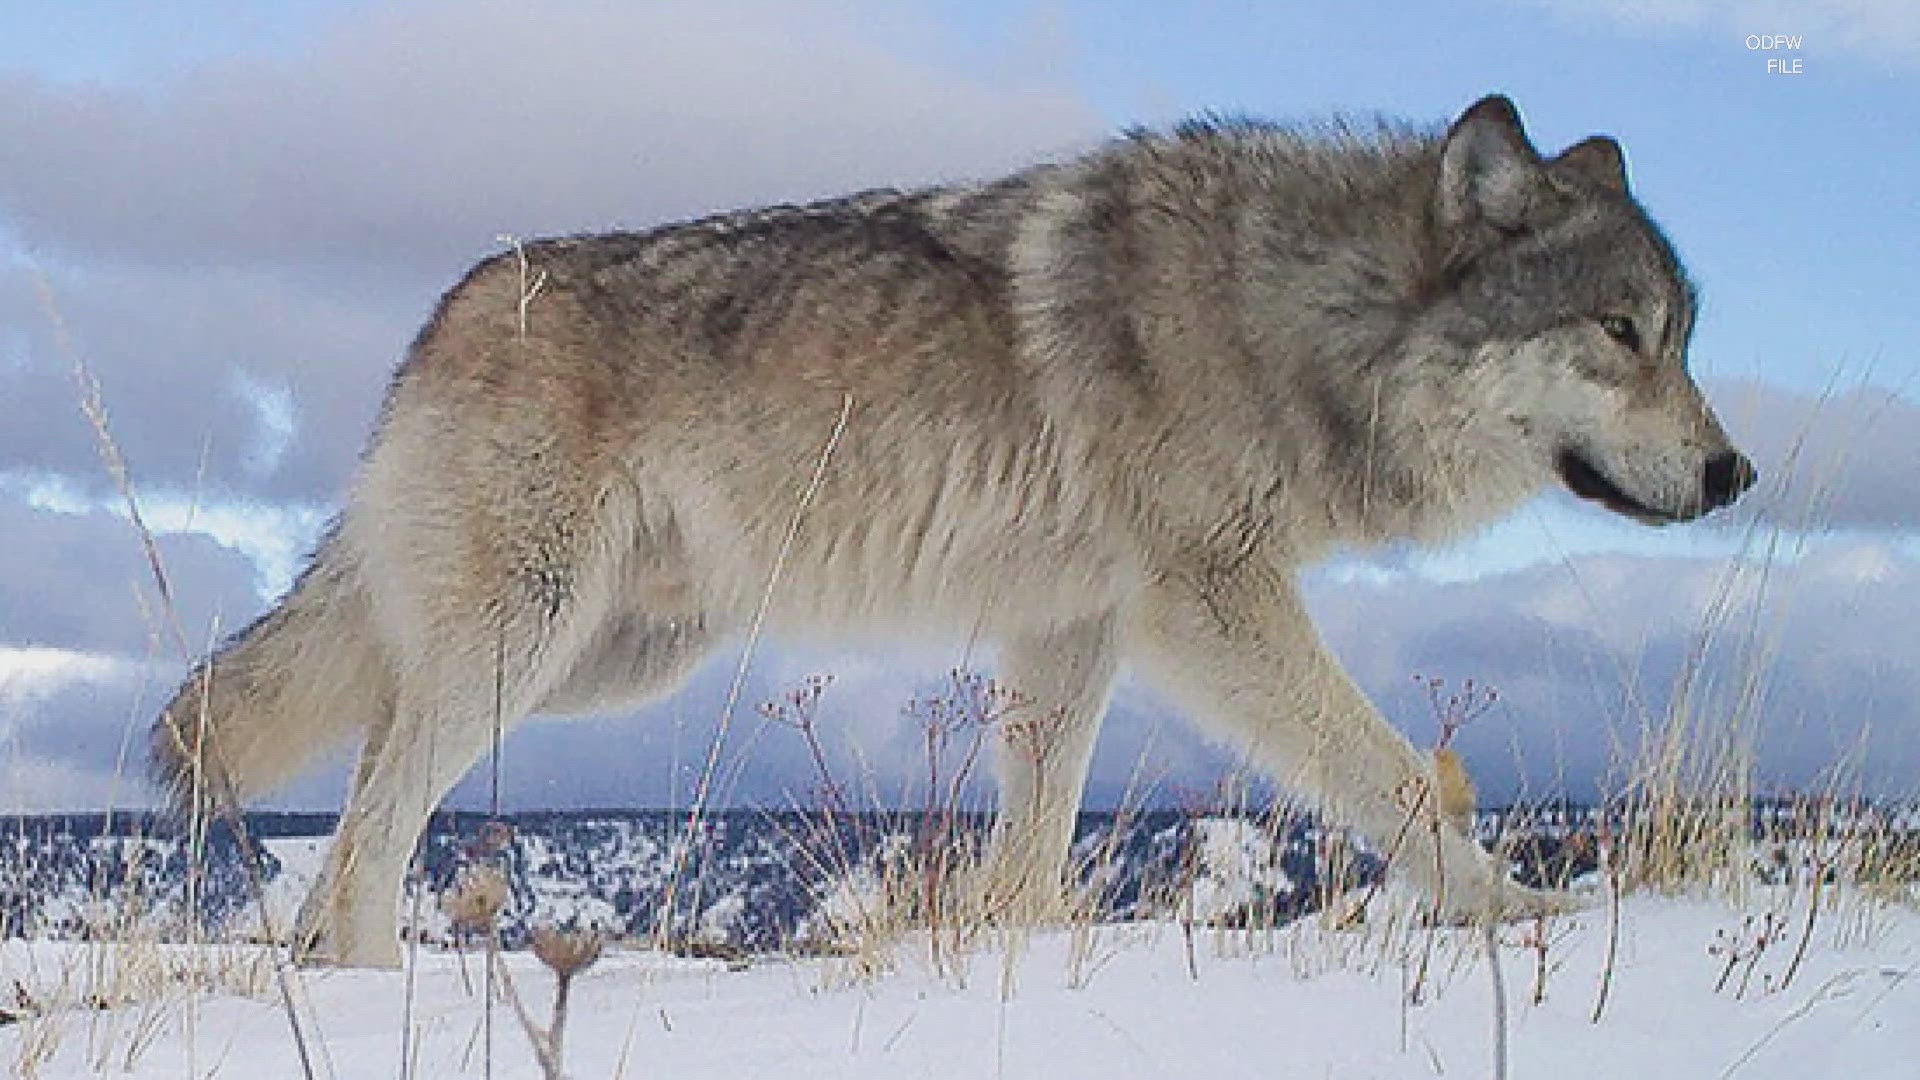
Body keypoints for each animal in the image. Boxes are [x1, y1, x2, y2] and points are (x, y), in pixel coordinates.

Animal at [156, 94, 1753, 967]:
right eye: (1623, 333)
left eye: (1683, 336)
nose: (1735, 472)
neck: (1298, 311)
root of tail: (443, 309)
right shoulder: (1210, 605)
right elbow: (1403, 781)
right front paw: (1515, 915)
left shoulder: (1076, 632)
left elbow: (1035, 848)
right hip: (527, 647)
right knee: (373, 823)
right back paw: (373, 995)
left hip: (591, 660)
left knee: (357, 782)